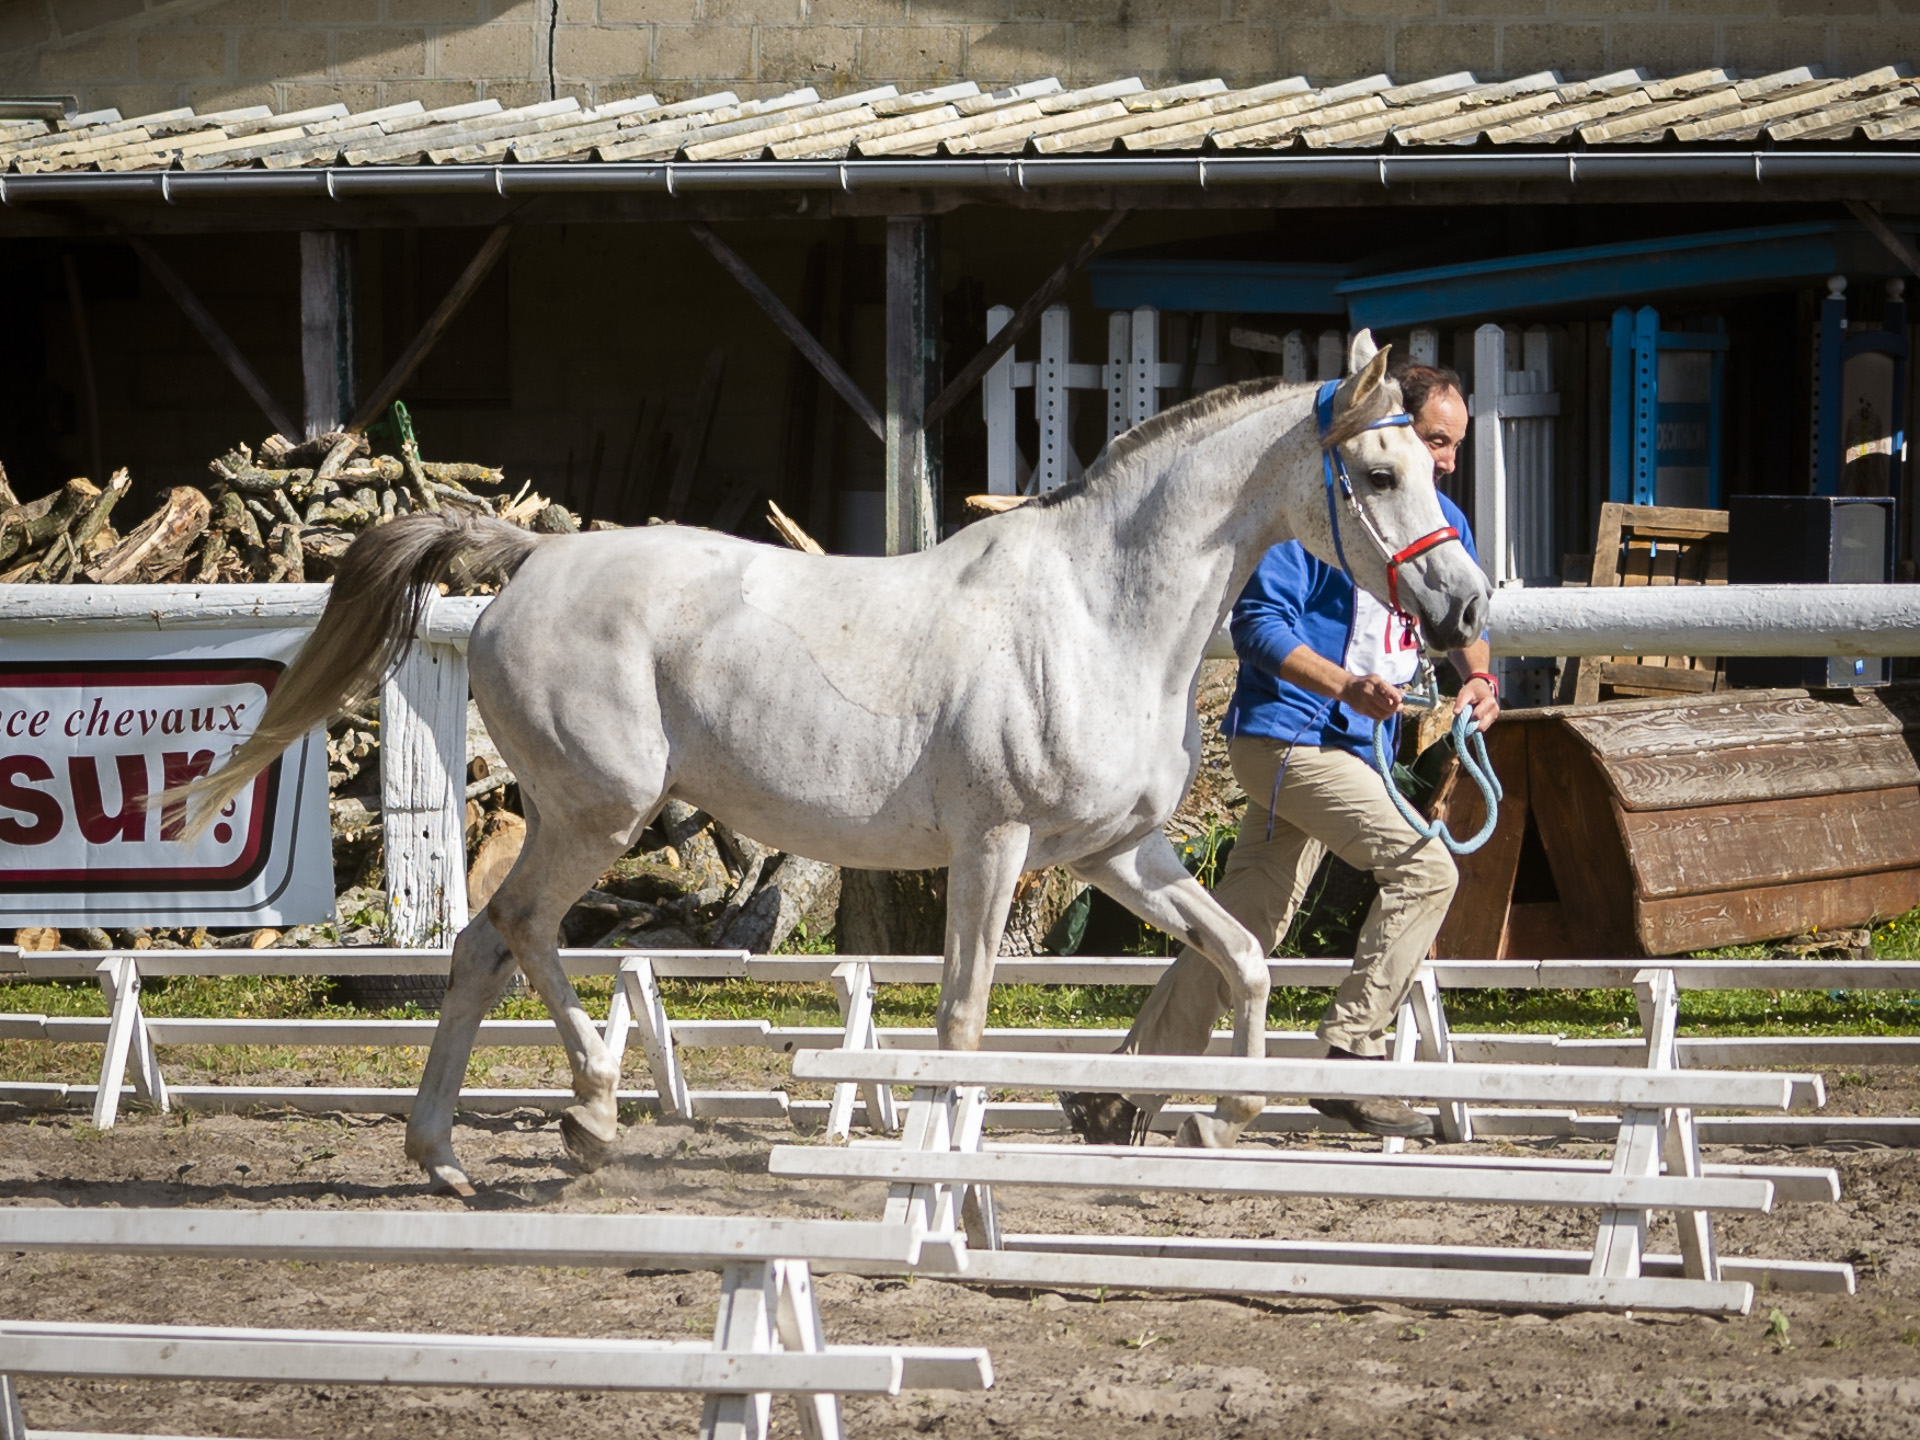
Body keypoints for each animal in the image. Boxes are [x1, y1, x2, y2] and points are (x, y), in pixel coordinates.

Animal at [179, 330, 1489, 1195]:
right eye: (1381, 473)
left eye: (1437, 466)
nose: (1466, 606)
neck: (1097, 614)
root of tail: (528, 561)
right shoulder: (996, 846)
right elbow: (962, 1015)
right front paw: (943, 1172)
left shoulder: (1116, 853)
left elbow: (1241, 957)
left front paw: (1225, 1115)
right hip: (601, 812)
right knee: (524, 931)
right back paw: (590, 1115)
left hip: (571, 815)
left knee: (478, 946)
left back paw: (446, 1157)